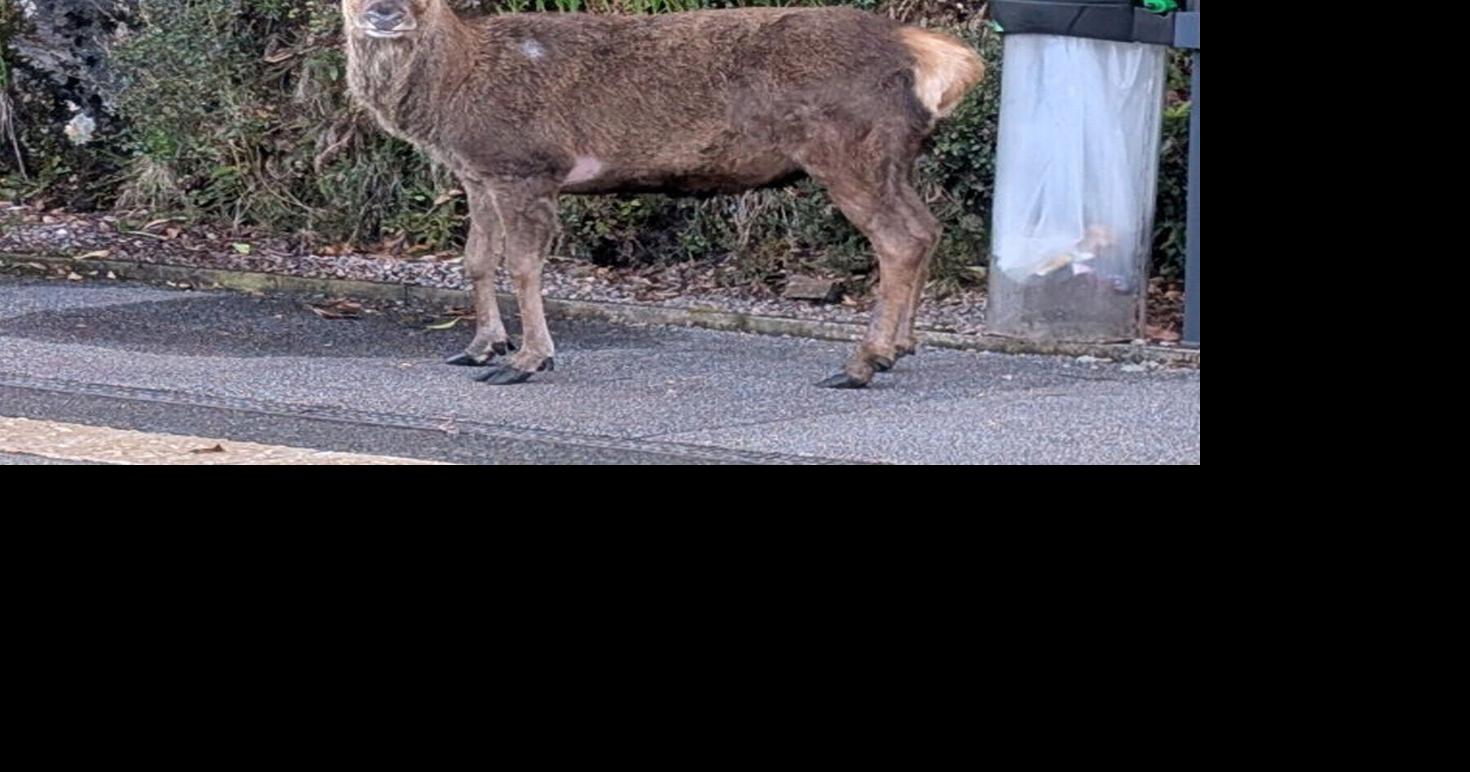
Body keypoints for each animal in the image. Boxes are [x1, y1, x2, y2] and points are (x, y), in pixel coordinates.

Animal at [341, 1, 984, 388]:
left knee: (899, 239)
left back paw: (860, 363)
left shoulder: (525, 165)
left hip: (847, 146)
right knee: (926, 228)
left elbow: (523, 266)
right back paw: (899, 348)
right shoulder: (477, 172)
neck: (450, 92)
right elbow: (475, 260)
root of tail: (936, 57)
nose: (384, 12)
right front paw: (480, 347)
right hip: (890, 158)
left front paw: (528, 359)